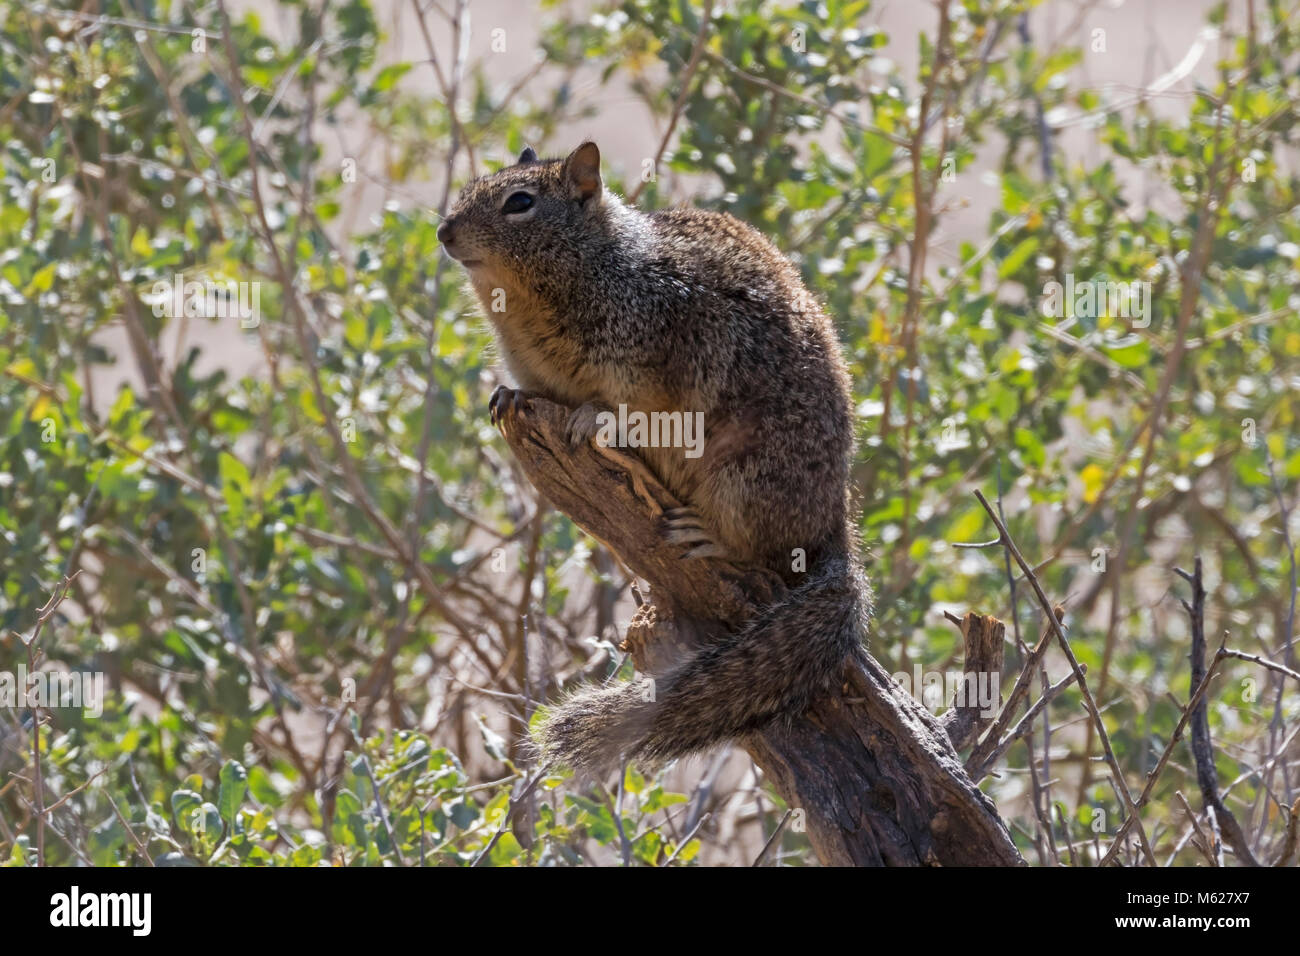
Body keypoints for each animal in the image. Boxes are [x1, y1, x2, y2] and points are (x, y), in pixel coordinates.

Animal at [438, 141, 870, 776]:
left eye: (520, 203)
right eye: (473, 187)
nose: (443, 231)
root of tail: (835, 526)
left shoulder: (648, 362)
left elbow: (625, 408)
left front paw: (593, 418)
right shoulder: (538, 369)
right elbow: (532, 391)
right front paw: (508, 397)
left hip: (747, 476)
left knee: (761, 548)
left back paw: (708, 534)